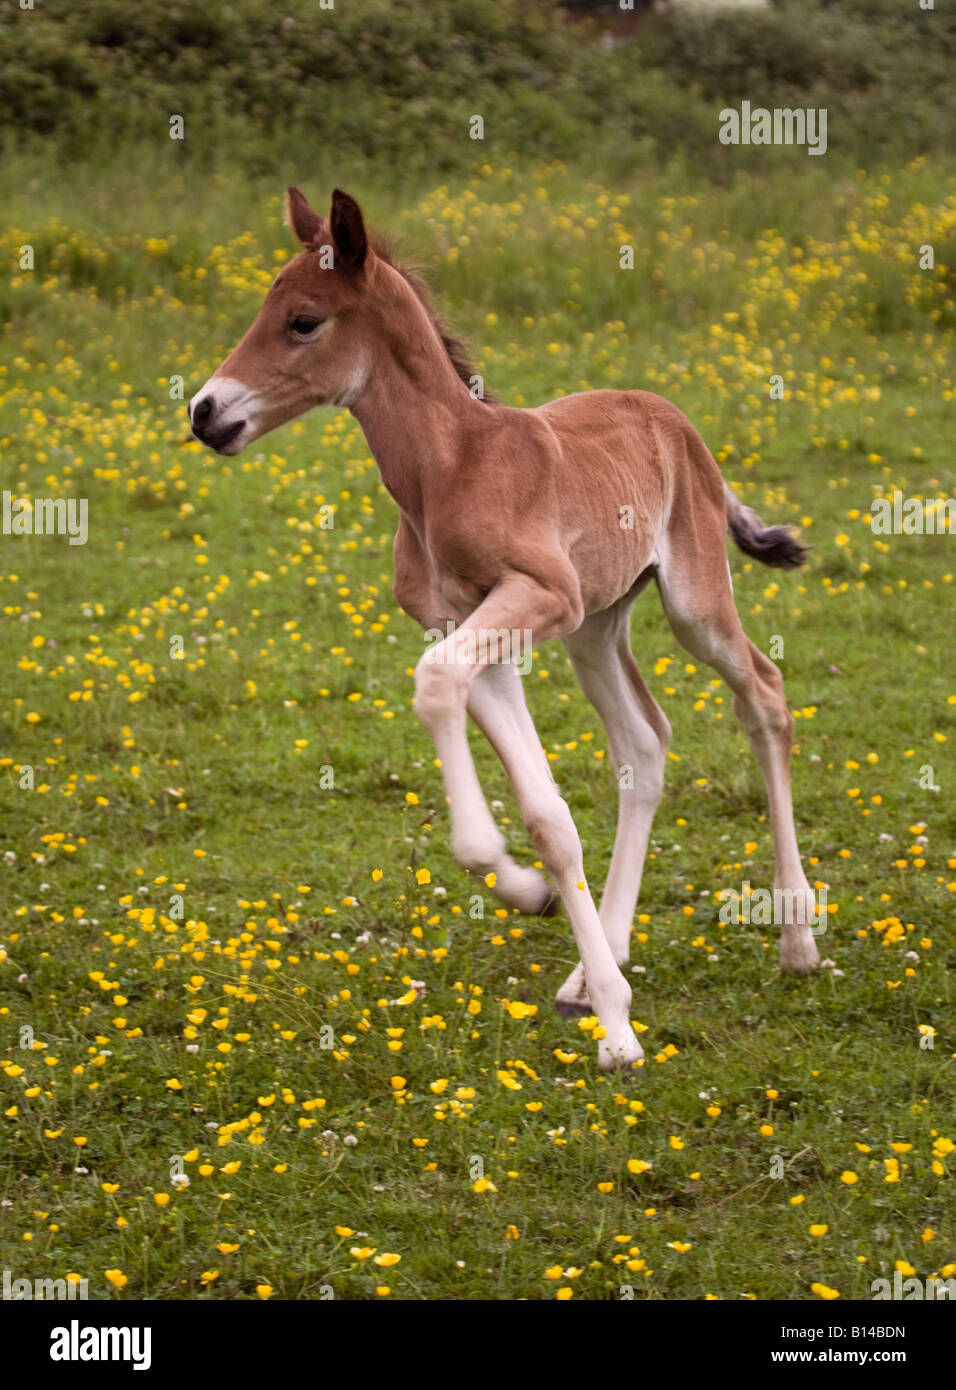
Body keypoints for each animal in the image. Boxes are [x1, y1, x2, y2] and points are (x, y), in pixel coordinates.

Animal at [189, 187, 820, 1071]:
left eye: (304, 320)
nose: (205, 412)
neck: (450, 467)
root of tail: (673, 417)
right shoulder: (468, 628)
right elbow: (547, 814)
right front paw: (536, 903)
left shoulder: (533, 599)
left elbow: (437, 691)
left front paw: (616, 1031)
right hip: (596, 625)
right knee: (644, 742)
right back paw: (594, 969)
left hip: (691, 604)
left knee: (763, 693)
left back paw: (797, 939)